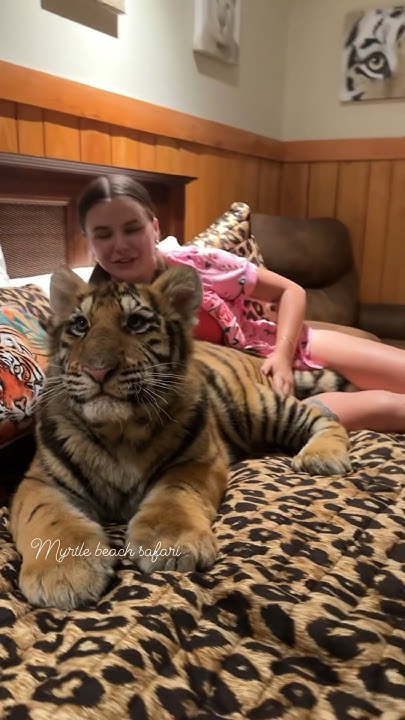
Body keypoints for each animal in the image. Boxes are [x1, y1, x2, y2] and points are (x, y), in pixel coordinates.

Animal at [10, 264, 351, 610]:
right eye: (80, 325)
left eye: (136, 323)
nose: (98, 370)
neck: (118, 431)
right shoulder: (41, 481)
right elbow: (51, 517)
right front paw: (64, 573)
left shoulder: (197, 460)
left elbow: (172, 495)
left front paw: (170, 543)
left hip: (258, 406)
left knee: (326, 417)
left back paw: (322, 457)